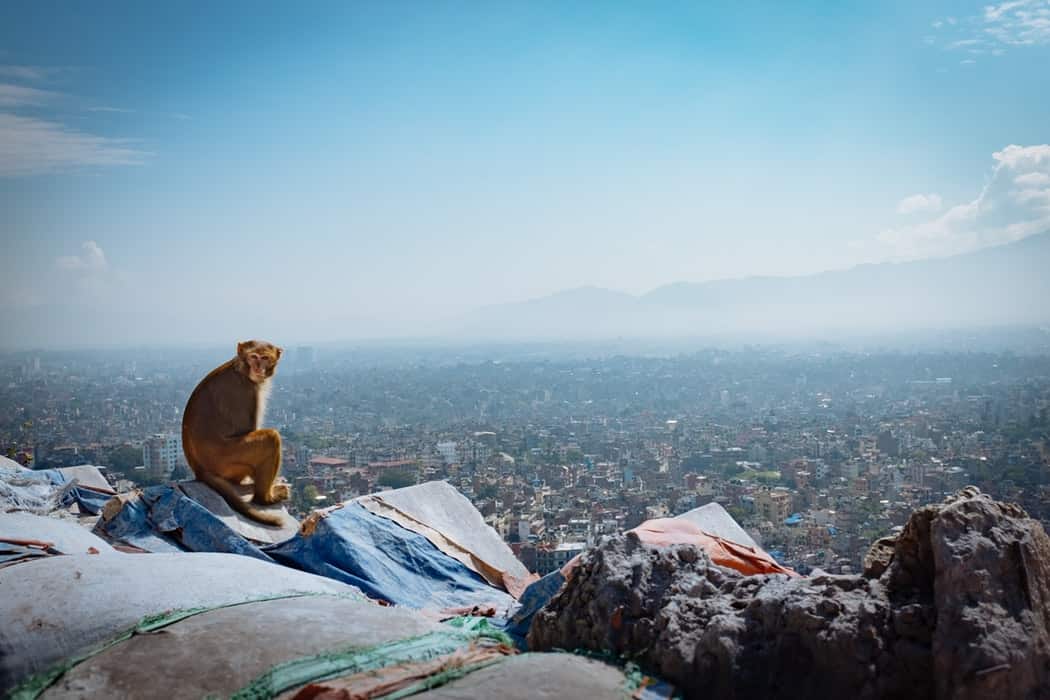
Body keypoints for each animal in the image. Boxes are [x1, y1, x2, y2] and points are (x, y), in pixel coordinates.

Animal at [181, 340, 290, 526]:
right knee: (271, 438)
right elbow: (248, 429)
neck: (242, 370)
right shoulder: (248, 392)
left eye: (265, 358)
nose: (258, 367)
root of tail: (199, 471)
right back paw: (265, 498)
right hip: (226, 463)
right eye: (253, 357)